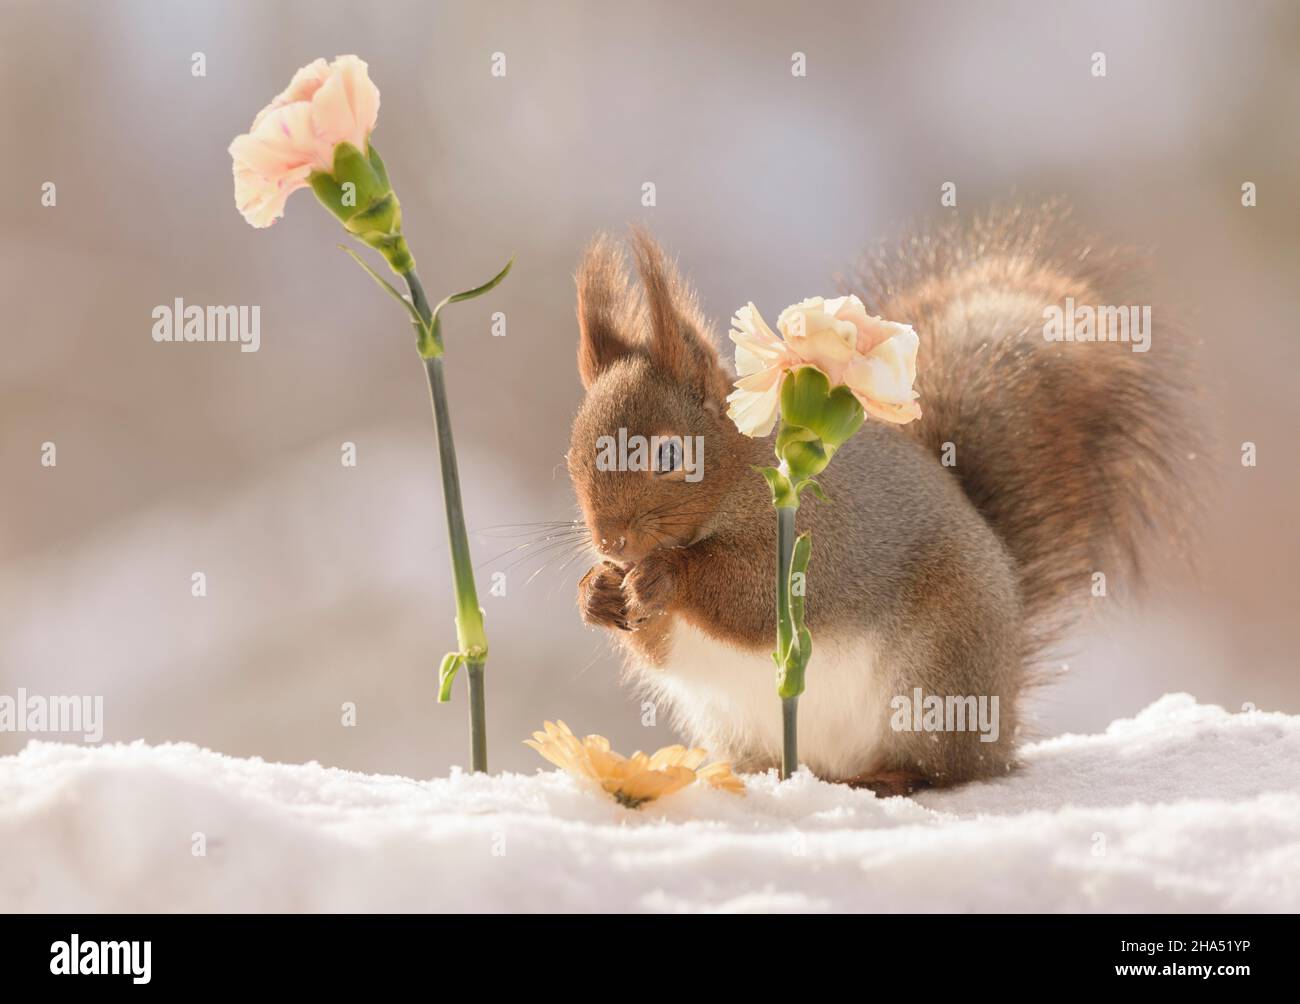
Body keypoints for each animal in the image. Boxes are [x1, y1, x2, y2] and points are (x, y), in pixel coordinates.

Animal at [567, 205, 1198, 796]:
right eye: (571, 455)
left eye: (671, 454)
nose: (610, 540)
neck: (738, 479)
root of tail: (1003, 720)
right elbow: (657, 645)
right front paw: (597, 591)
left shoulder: (823, 533)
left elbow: (754, 593)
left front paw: (665, 574)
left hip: (935, 679)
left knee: (943, 769)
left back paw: (888, 777)